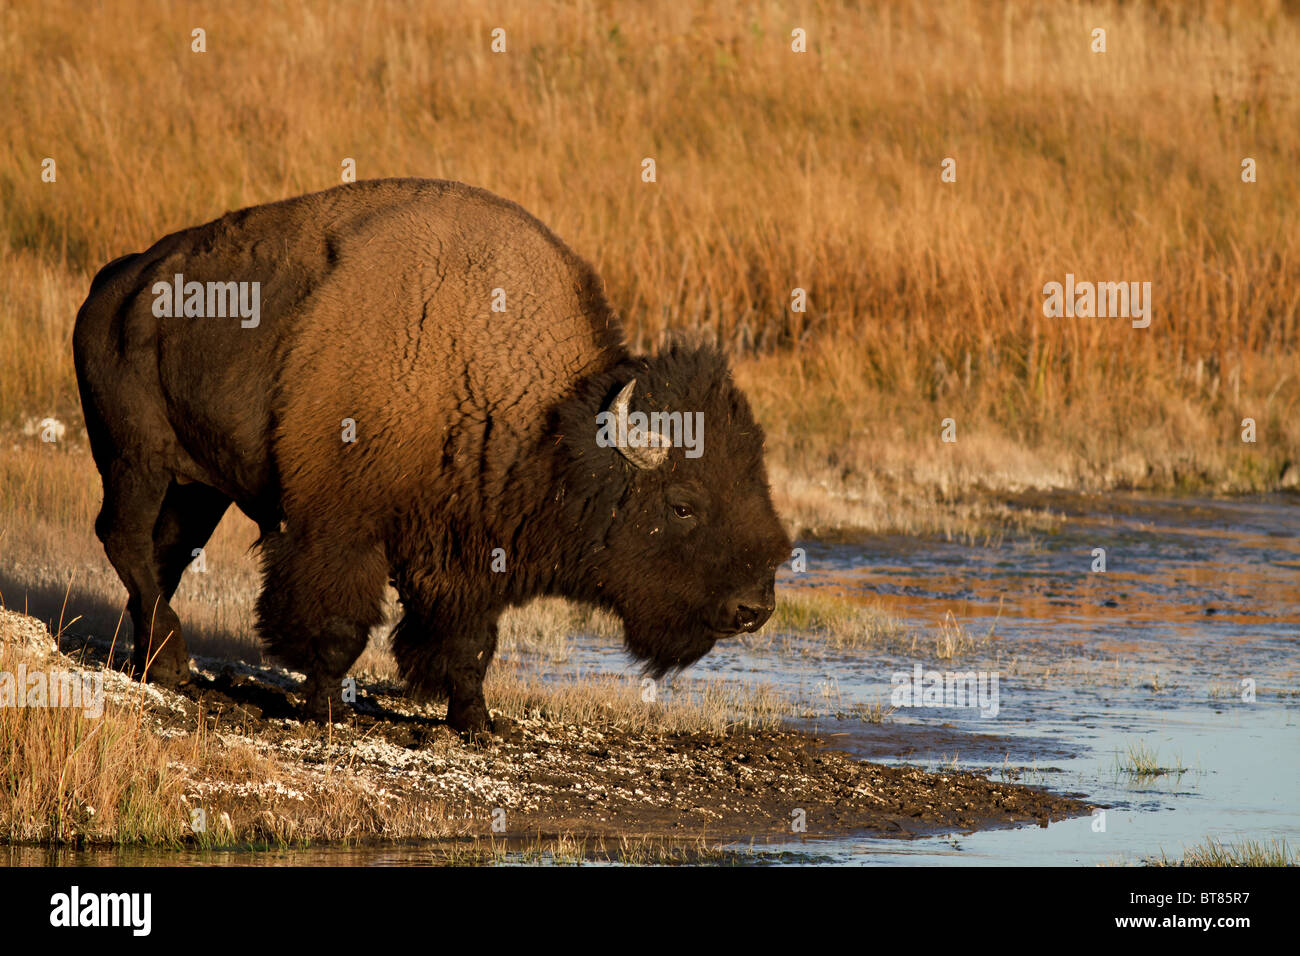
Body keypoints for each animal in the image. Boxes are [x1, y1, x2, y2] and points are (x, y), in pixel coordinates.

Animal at [73, 178, 790, 736]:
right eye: (683, 504)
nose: (754, 607)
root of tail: (112, 283)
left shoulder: (467, 553)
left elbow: (467, 646)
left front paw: (476, 723)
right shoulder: (340, 527)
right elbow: (337, 625)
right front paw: (326, 709)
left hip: (197, 486)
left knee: (163, 555)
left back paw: (149, 662)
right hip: (136, 460)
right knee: (125, 539)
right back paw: (170, 662)